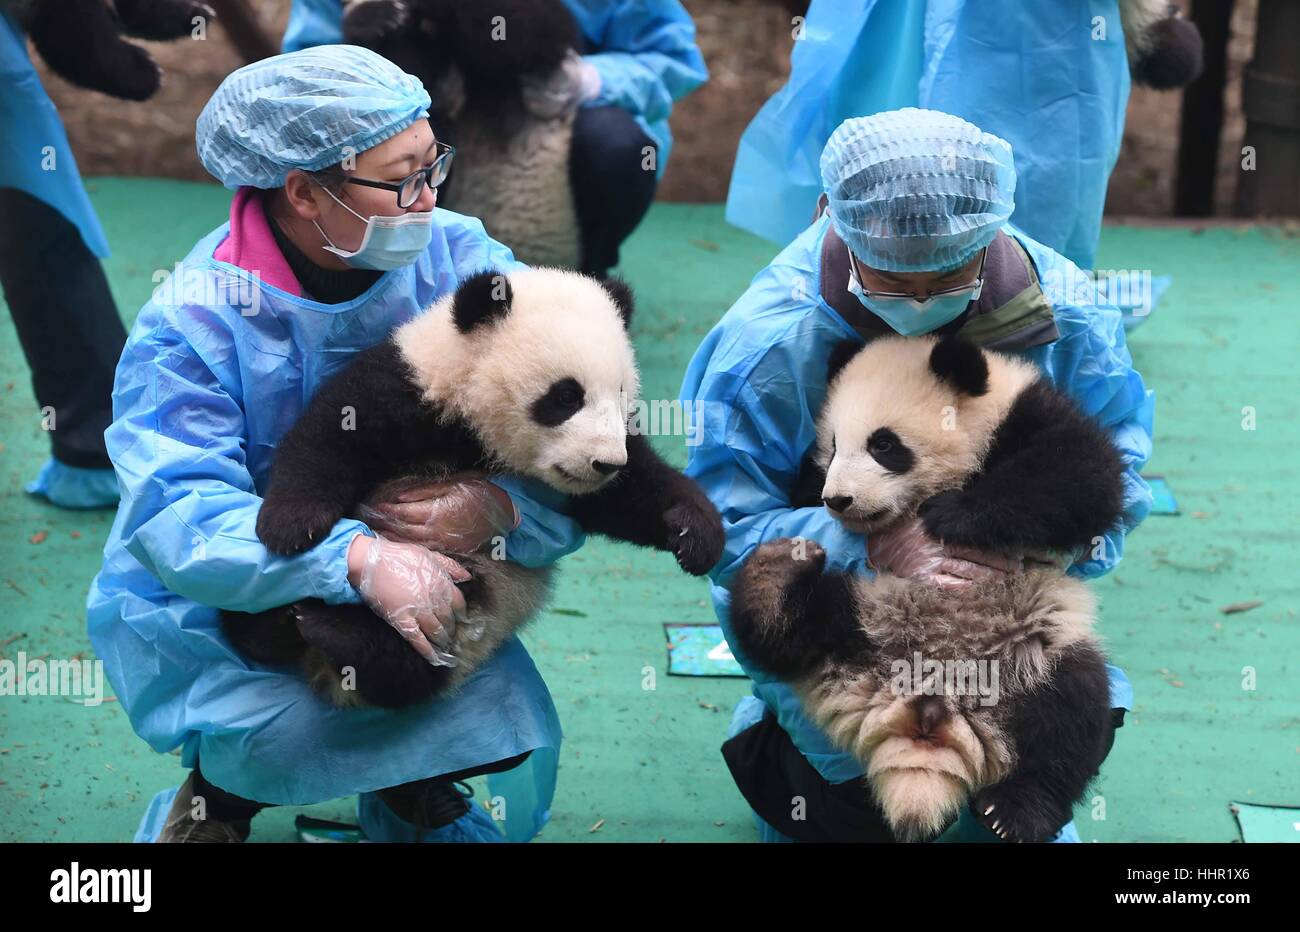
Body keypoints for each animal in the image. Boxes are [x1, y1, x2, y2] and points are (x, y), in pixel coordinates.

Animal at [221, 267, 725, 710]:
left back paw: (335, 633)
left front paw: (697, 534)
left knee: (409, 669)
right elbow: (331, 435)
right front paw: (290, 525)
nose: (604, 463)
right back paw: (275, 622)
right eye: (566, 396)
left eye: (620, 394)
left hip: (459, 613)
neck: (477, 430)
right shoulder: (409, 387)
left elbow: (635, 491)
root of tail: (319, 667)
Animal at [728, 334, 1130, 843]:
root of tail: (932, 707)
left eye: (884, 444)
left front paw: (955, 515)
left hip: (1032, 650)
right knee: (797, 628)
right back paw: (773, 576)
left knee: (1072, 713)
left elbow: (1082, 476)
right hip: (860, 616)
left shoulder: (1024, 413)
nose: (837, 501)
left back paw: (1016, 810)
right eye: (834, 445)